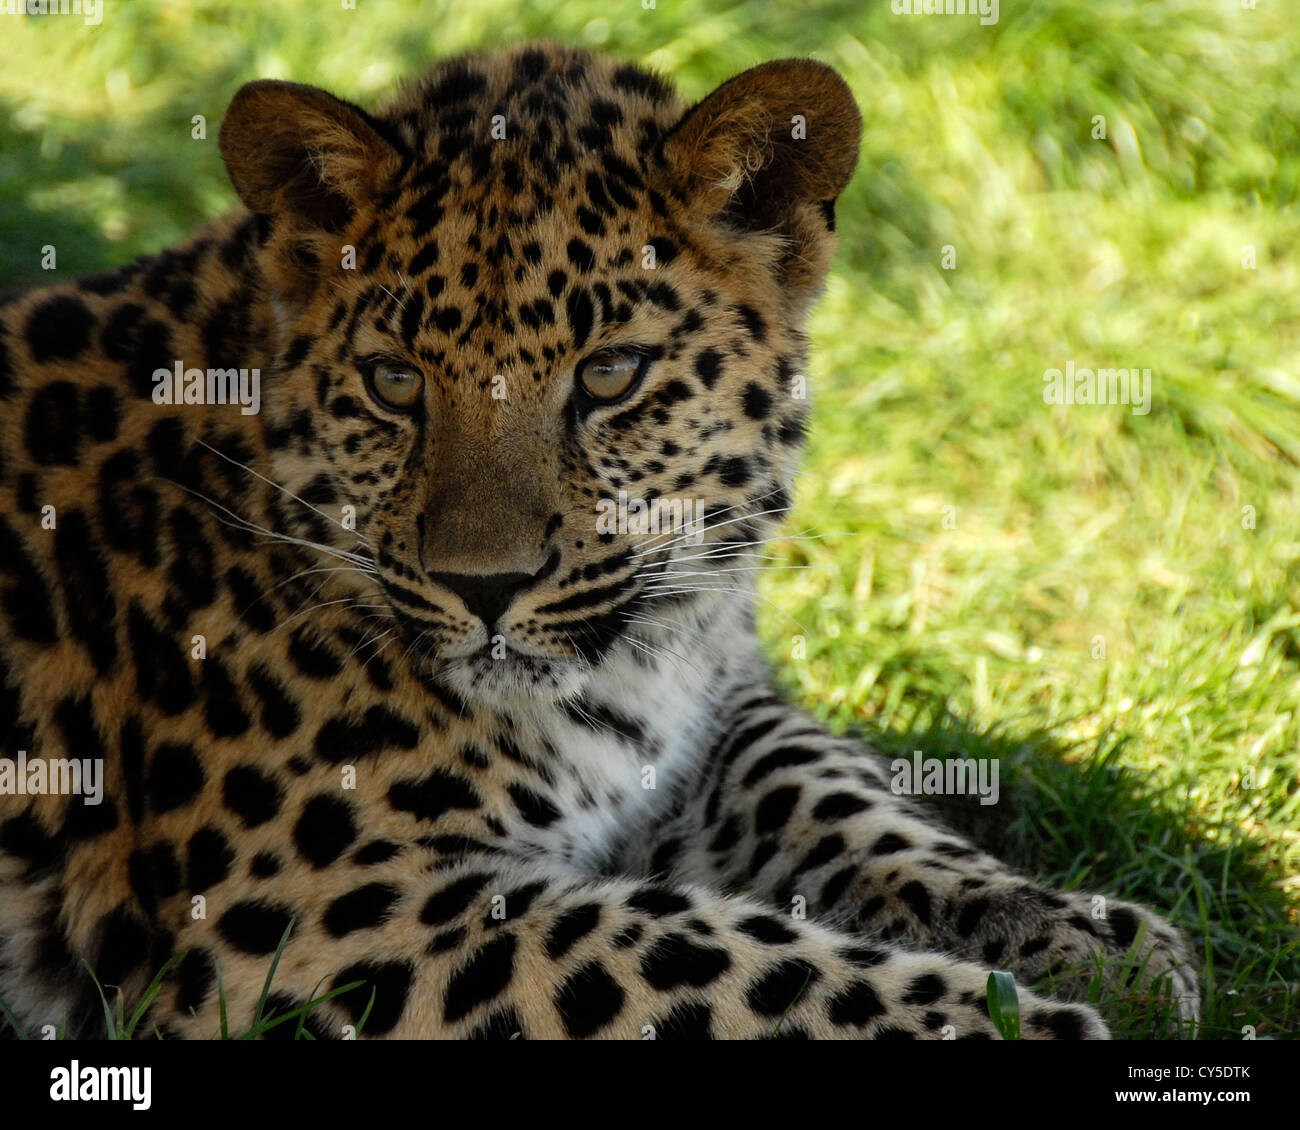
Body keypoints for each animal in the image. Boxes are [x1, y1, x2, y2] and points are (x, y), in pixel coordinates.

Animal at [0, 42, 1198, 1040]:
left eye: (611, 374)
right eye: (395, 383)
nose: (484, 588)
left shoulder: (715, 715)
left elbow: (841, 795)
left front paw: (1086, 935)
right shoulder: (323, 913)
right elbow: (713, 954)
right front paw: (1006, 1023)